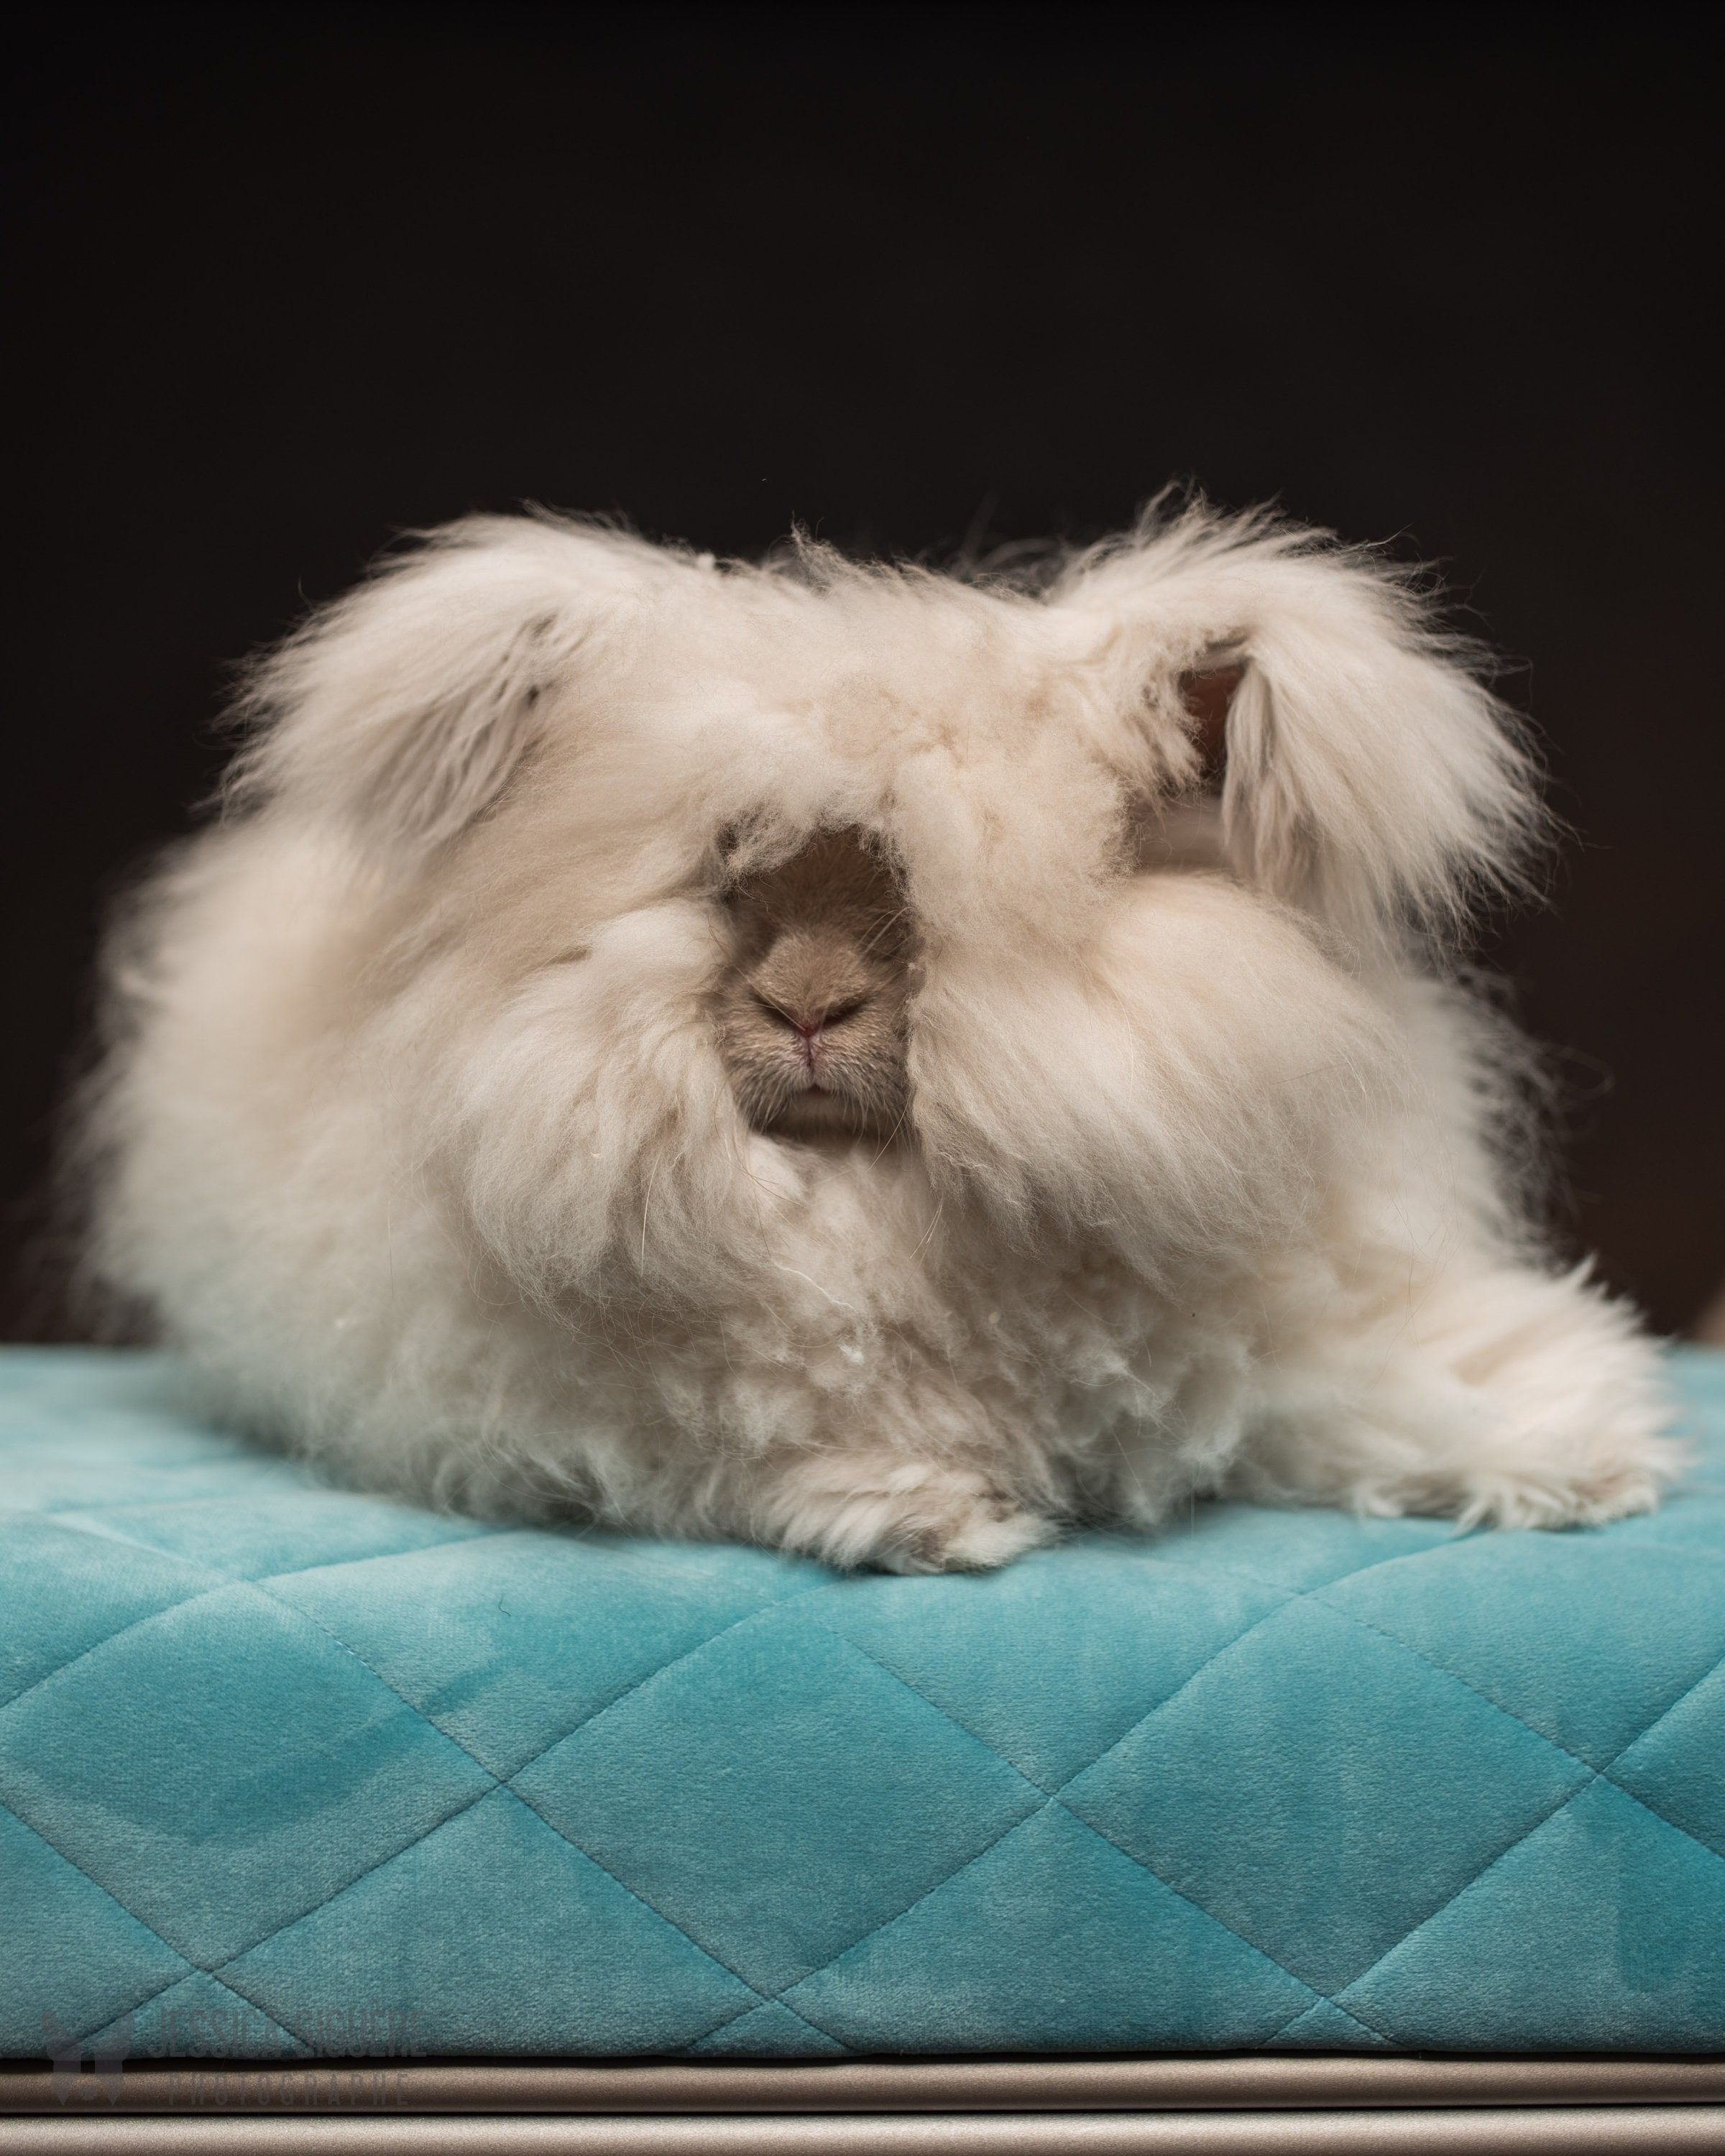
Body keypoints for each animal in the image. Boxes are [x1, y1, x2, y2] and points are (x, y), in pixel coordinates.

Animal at [77, 501, 1682, 1571]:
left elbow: (1388, 1388)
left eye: (917, 895)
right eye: (733, 876)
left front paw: (1595, 1458)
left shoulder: (1286, 1338)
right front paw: (935, 1513)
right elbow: (748, 1441)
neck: (872, 1198)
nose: (806, 1008)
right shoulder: (550, 1409)